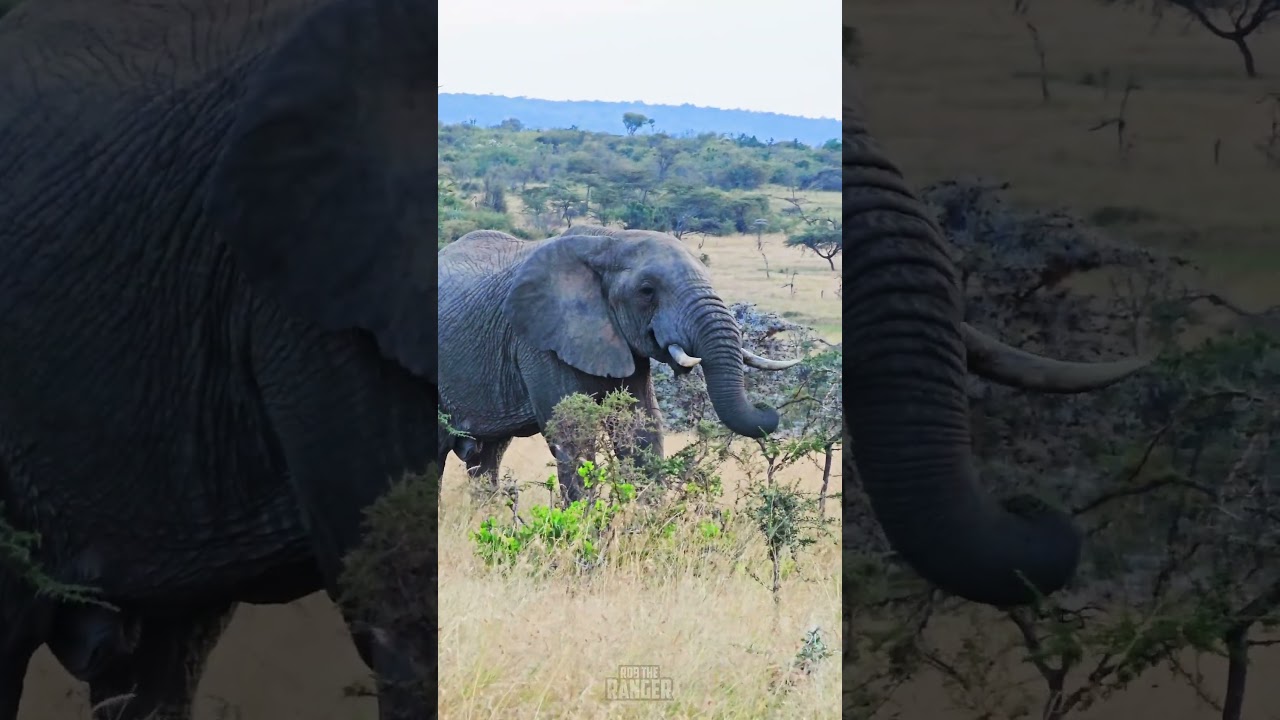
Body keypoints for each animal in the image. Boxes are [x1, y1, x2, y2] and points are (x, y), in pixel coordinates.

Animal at [437, 226, 802, 504]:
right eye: (647, 291)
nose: (768, 408)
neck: (610, 241)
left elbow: (642, 428)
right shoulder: (538, 340)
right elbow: (572, 434)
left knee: (487, 456)